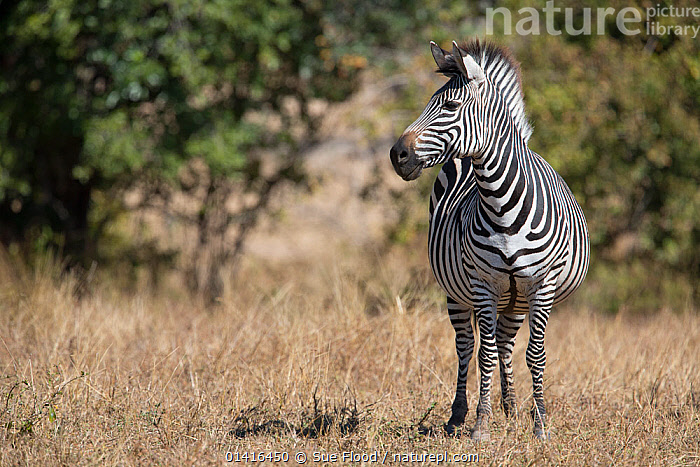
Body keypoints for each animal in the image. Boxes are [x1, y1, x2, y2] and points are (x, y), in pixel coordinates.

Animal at [389, 40, 589, 441]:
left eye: (449, 106)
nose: (396, 155)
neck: (501, 204)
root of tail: (464, 159)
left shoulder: (541, 285)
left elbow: (535, 354)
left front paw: (540, 424)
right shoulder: (482, 283)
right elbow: (484, 354)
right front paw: (481, 424)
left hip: (516, 299)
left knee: (507, 343)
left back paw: (511, 407)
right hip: (457, 291)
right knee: (467, 345)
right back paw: (458, 415)